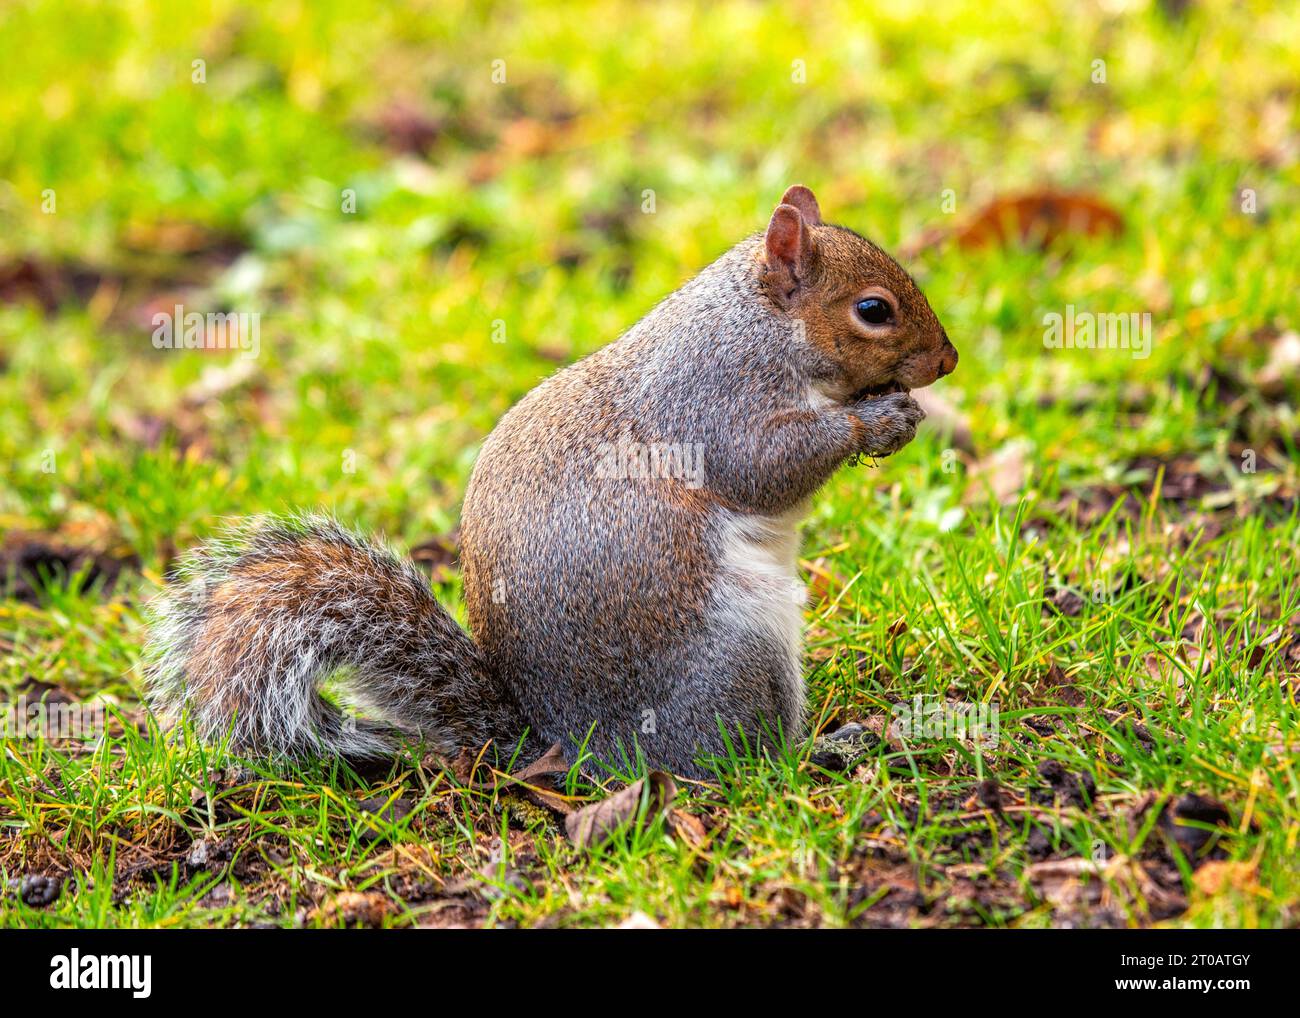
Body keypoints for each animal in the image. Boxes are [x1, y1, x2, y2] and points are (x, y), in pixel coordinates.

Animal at [146, 185, 957, 779]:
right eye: (873, 310)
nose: (946, 362)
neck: (762, 328)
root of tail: (574, 751)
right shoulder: (715, 403)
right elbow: (765, 465)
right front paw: (878, 420)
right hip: (738, 659)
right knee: (740, 763)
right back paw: (820, 750)